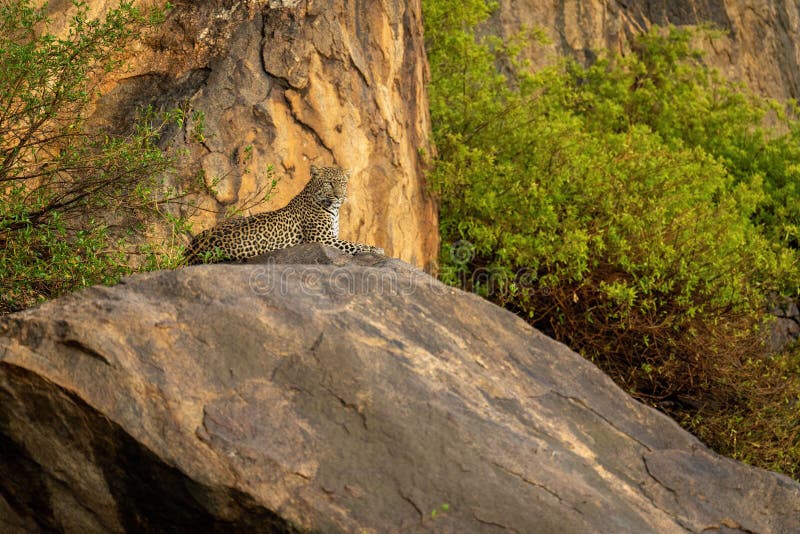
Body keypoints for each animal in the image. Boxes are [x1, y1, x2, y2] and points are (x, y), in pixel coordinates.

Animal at [184, 165, 384, 264]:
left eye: (342, 183)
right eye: (329, 183)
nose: (339, 195)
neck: (332, 209)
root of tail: (191, 249)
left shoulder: (329, 238)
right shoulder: (322, 240)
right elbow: (353, 244)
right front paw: (376, 249)